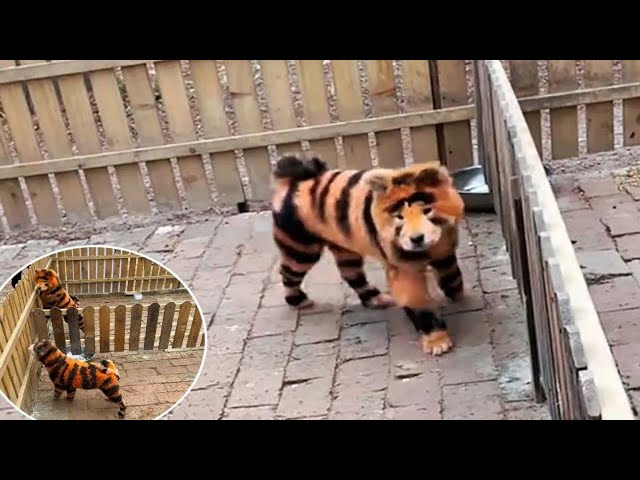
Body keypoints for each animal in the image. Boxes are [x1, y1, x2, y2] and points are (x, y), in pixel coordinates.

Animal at [271, 153, 465, 356]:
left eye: (427, 210)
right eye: (399, 217)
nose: (417, 239)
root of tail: (292, 181)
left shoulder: (445, 250)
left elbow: (452, 273)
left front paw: (456, 293)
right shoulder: (404, 270)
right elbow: (419, 303)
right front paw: (437, 343)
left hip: (345, 250)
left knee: (350, 274)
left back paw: (377, 299)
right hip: (302, 248)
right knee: (287, 272)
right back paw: (300, 301)